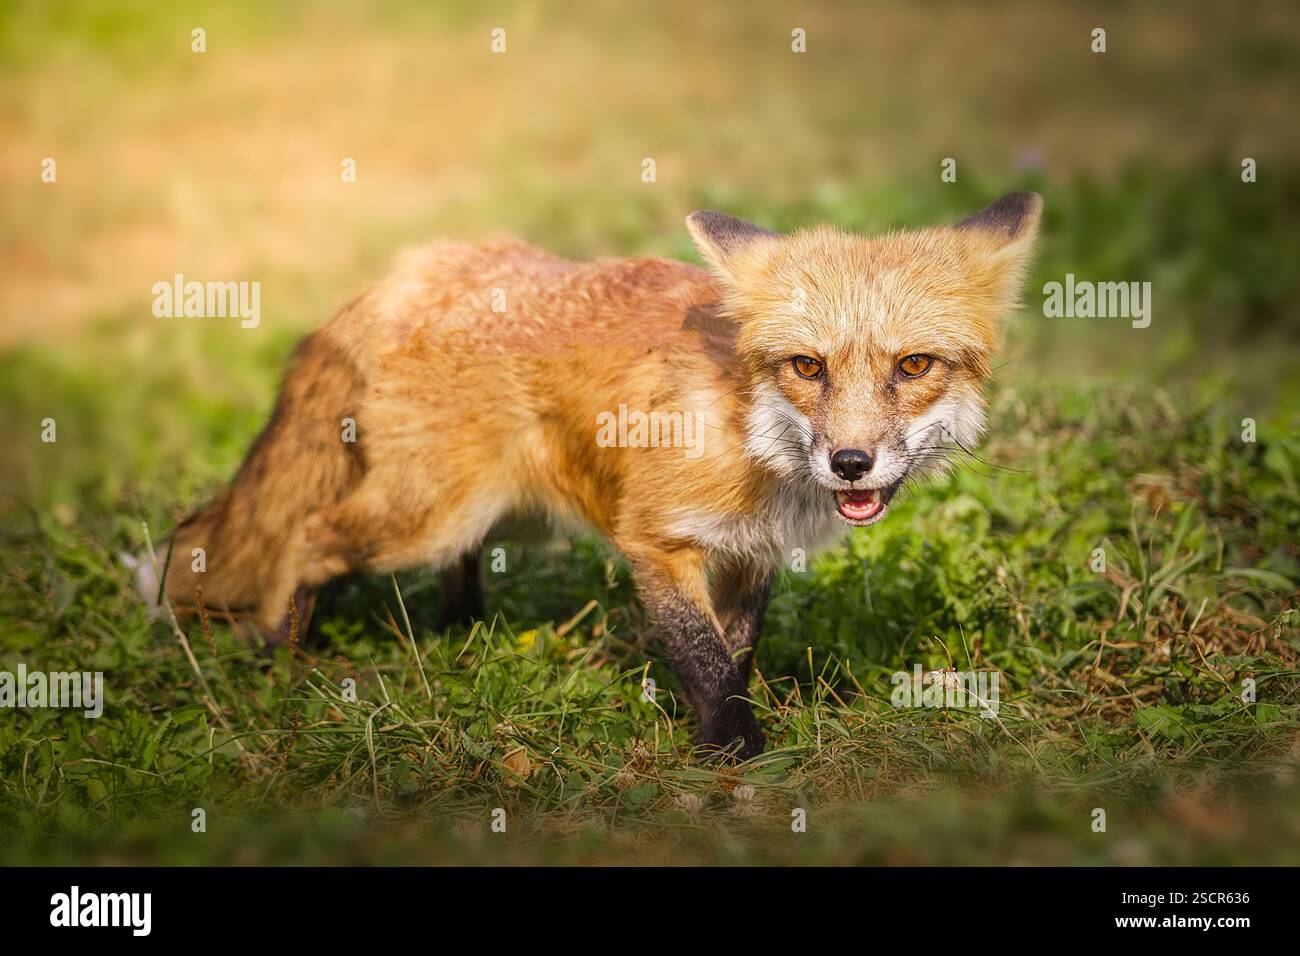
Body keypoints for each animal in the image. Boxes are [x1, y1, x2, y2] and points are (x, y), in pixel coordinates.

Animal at [152, 192, 1041, 760]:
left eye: (914, 365)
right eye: (806, 366)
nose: (849, 461)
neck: (748, 428)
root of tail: (416, 272)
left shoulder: (750, 552)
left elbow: (736, 649)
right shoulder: (654, 539)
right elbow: (707, 663)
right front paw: (739, 759)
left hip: (498, 514)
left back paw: (461, 630)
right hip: (426, 516)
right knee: (304, 538)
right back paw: (277, 658)